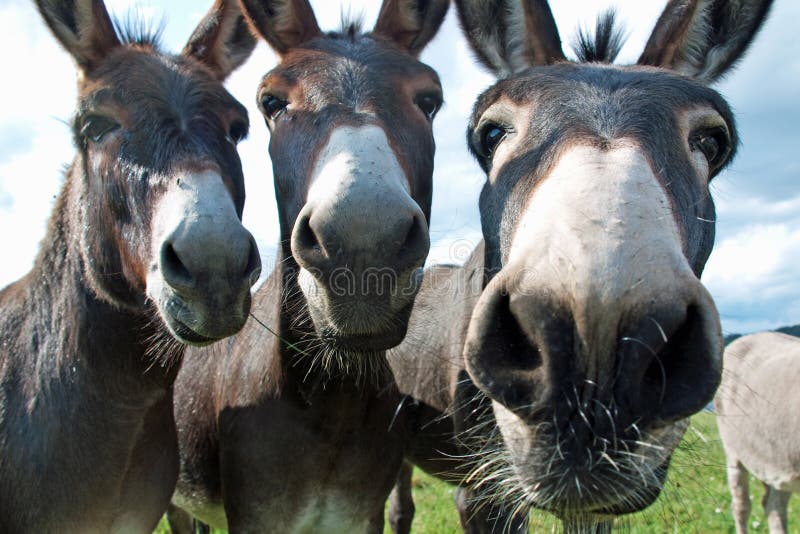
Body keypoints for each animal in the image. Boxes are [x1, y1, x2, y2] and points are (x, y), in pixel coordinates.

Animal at [167, 0, 449, 532]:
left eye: (429, 101)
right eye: (272, 103)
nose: (363, 244)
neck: (332, 403)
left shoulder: (363, 514)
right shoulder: (255, 516)